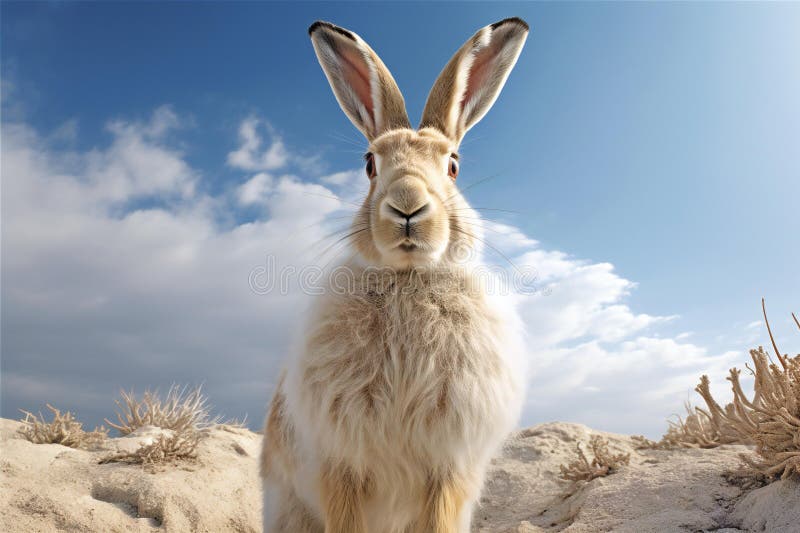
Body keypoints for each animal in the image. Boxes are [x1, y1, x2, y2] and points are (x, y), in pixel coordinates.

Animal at [261, 17, 530, 533]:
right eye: (370, 164)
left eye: (453, 165)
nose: (407, 205)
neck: (408, 277)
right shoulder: (341, 468)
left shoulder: (447, 470)